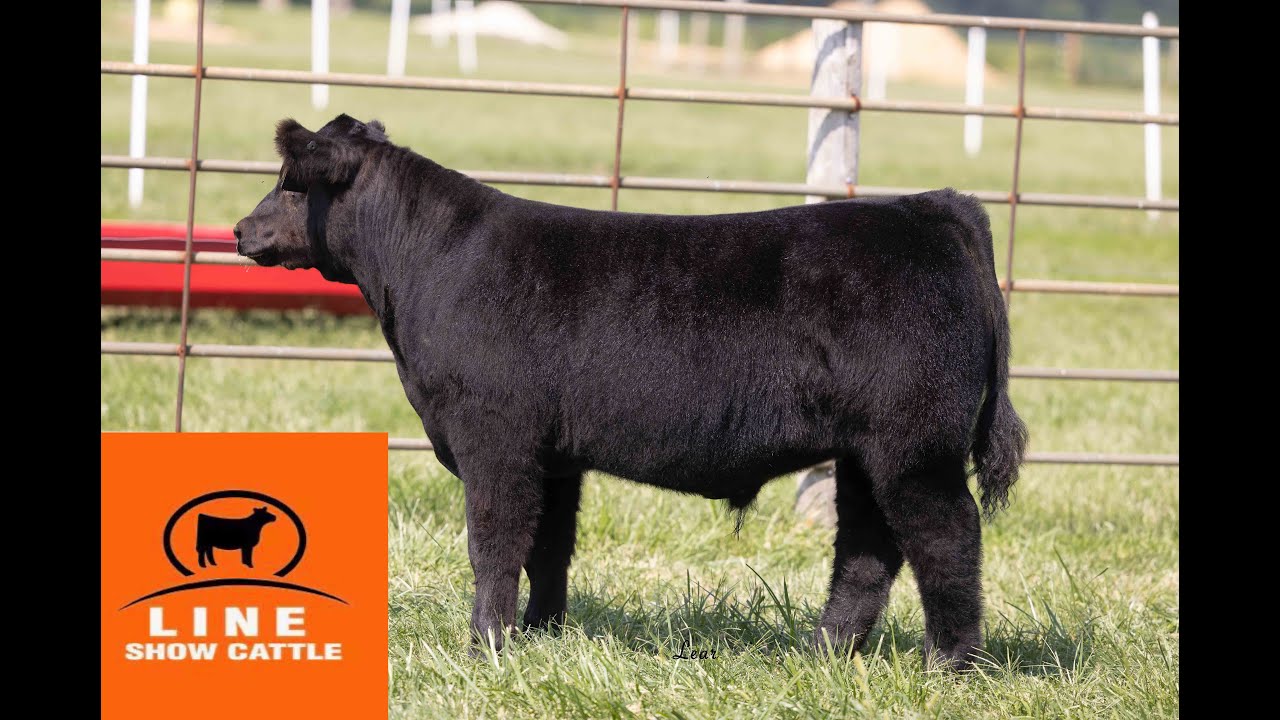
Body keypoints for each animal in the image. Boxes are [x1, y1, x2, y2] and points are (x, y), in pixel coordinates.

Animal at [234, 114, 1028, 670]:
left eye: (291, 183)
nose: (241, 228)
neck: (425, 264)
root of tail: (926, 209)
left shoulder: (494, 439)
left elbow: (494, 543)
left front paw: (485, 645)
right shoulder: (553, 456)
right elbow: (548, 547)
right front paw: (541, 634)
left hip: (913, 447)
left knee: (947, 536)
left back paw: (948, 665)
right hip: (867, 453)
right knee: (868, 549)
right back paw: (825, 654)